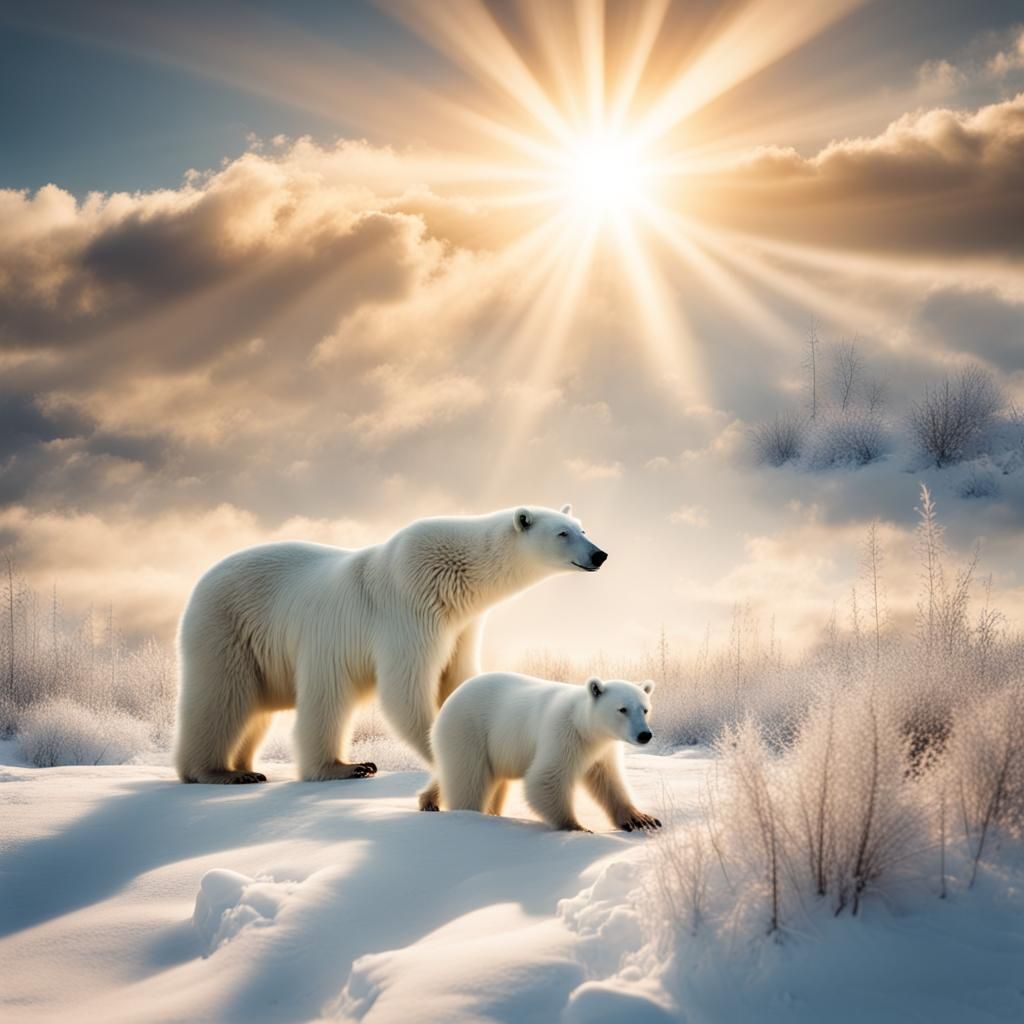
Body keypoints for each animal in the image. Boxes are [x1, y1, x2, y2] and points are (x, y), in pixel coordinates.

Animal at [174, 505, 607, 792]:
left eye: (584, 528)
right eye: (563, 533)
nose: (599, 554)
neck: (456, 577)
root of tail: (199, 585)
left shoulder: (462, 625)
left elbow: (459, 680)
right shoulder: (410, 612)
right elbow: (406, 690)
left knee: (260, 710)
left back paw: (248, 764)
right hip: (228, 628)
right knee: (230, 698)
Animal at [430, 672, 662, 832]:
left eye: (645, 709)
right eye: (622, 709)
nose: (645, 734)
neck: (584, 725)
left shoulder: (602, 748)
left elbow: (608, 781)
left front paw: (641, 819)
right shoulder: (563, 735)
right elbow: (546, 779)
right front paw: (576, 827)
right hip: (467, 729)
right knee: (468, 778)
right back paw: (469, 814)